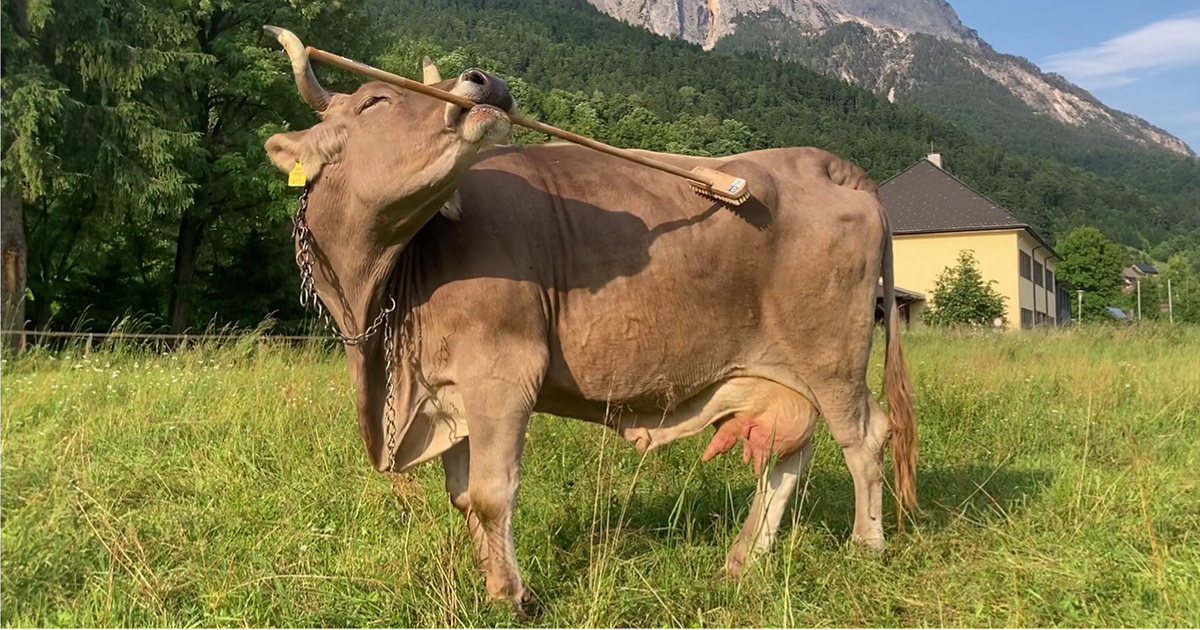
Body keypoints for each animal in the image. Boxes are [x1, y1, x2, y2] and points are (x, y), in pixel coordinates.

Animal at [263, 28, 917, 615]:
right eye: (374, 101)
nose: (486, 81)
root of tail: (820, 162)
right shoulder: (446, 391)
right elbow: (463, 497)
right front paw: (496, 582)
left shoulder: (502, 373)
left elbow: (492, 494)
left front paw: (510, 597)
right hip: (785, 370)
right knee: (792, 450)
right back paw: (743, 559)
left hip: (831, 356)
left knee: (864, 436)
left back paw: (865, 545)